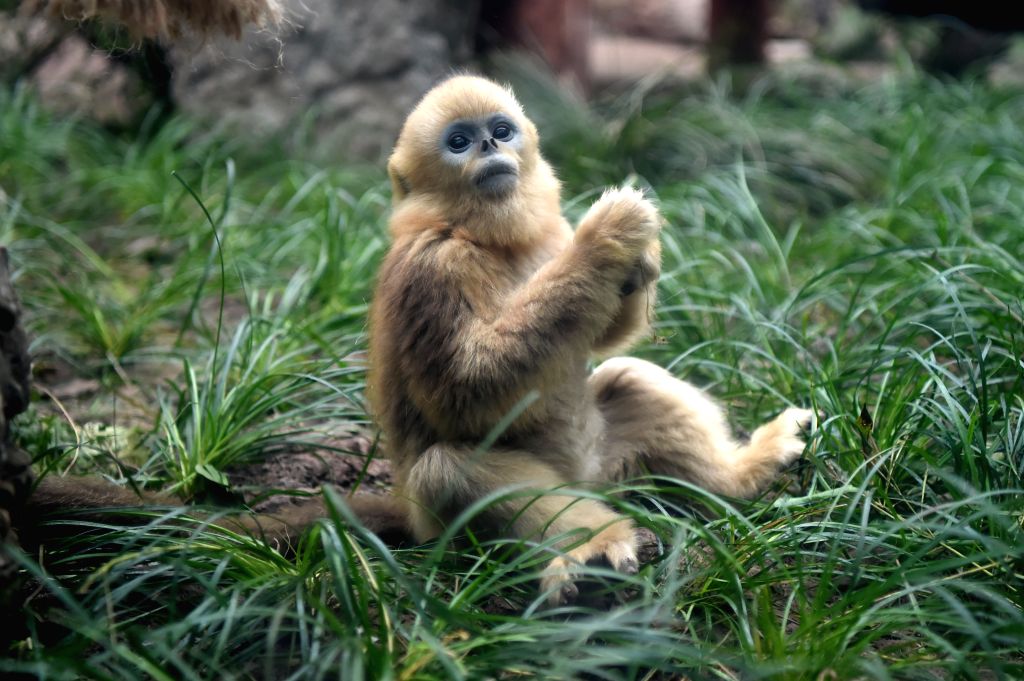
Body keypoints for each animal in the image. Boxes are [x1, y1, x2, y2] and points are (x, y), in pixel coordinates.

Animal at [369, 75, 816, 605]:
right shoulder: (432, 267)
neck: (487, 240)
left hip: (606, 465)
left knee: (631, 376)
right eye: (458, 142)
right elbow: (462, 391)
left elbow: (605, 337)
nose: (488, 146)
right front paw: (607, 240)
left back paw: (746, 475)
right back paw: (593, 553)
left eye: (500, 130)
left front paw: (640, 261)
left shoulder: (551, 236)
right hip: (445, 527)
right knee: (448, 469)